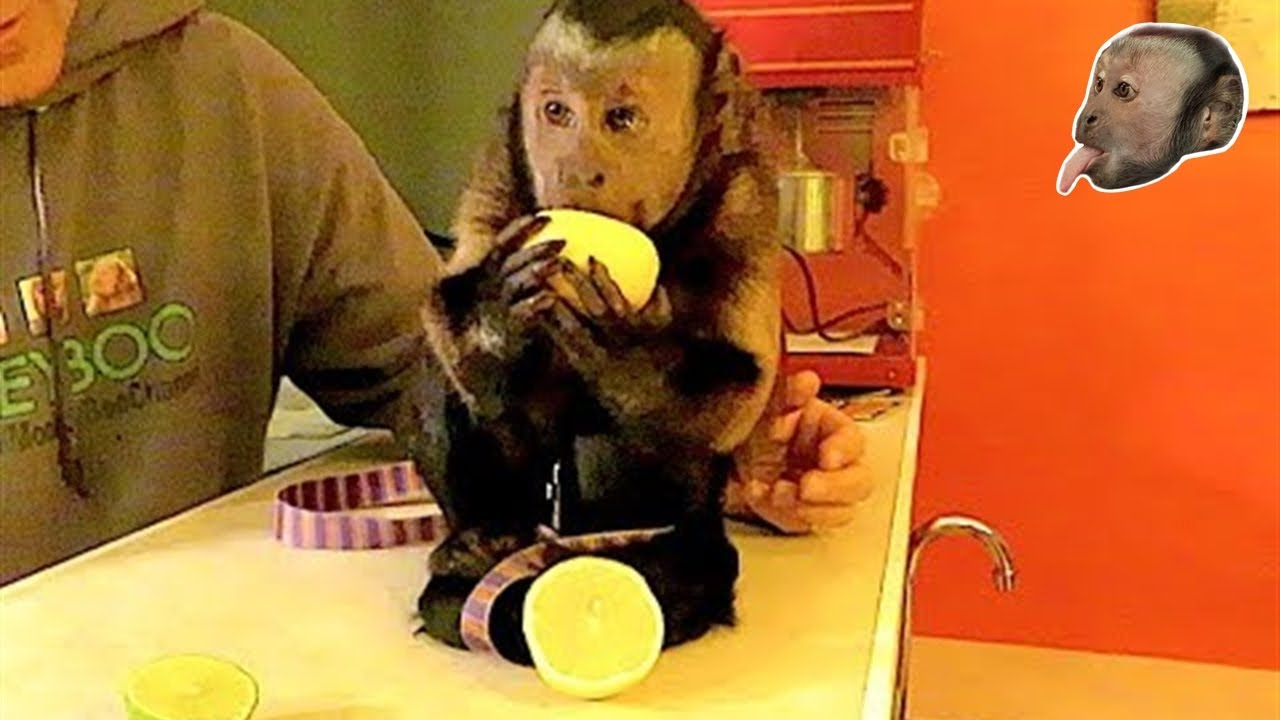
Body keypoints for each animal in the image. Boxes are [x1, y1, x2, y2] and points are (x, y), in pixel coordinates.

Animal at [406, 0, 781, 664]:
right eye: (557, 112)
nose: (577, 168)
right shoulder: (498, 163)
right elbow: (449, 313)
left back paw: (652, 556)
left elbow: (742, 382)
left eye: (620, 119)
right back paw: (482, 539)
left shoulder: (744, 193)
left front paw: (624, 348)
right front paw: (495, 310)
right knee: (450, 372)